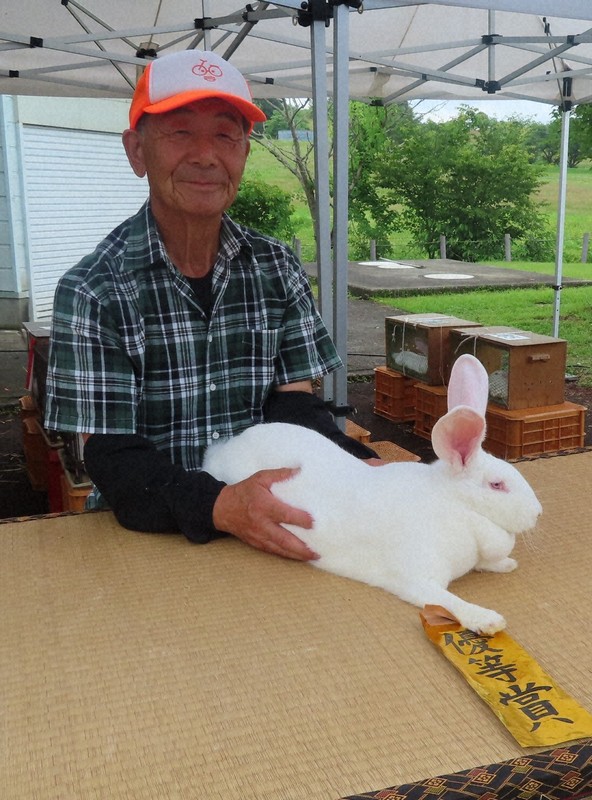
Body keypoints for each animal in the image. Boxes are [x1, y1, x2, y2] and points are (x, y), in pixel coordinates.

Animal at [203, 354, 542, 635]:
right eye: (497, 485)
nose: (537, 512)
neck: (457, 507)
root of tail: (221, 450)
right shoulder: (416, 579)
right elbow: (450, 603)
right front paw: (488, 620)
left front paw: (506, 564)